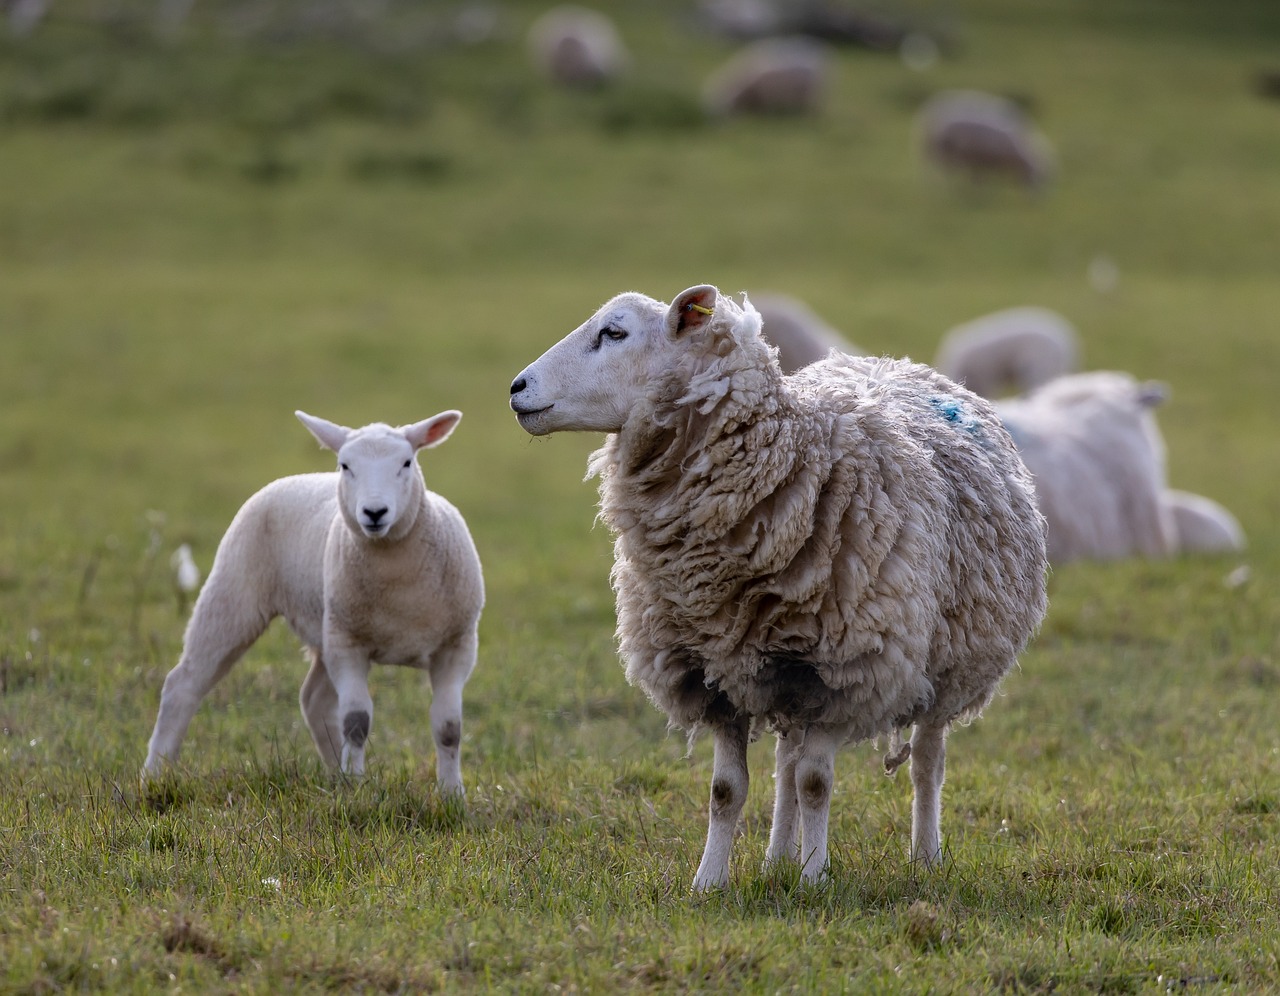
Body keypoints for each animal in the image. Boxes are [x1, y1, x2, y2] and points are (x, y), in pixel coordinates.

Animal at [143, 411, 484, 794]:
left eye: (406, 463)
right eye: (345, 465)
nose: (375, 512)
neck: (399, 584)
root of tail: (298, 478)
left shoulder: (456, 646)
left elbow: (449, 729)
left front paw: (452, 794)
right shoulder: (348, 644)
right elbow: (356, 722)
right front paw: (358, 788)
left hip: (321, 627)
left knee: (313, 699)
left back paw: (337, 773)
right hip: (234, 595)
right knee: (182, 686)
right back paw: (153, 774)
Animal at [509, 284, 1048, 889]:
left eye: (615, 332)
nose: (516, 389)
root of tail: (897, 363)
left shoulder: (848, 671)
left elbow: (817, 782)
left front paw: (815, 880)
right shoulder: (713, 671)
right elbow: (728, 790)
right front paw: (709, 881)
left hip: (947, 662)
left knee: (925, 762)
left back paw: (923, 855)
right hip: (784, 668)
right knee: (786, 762)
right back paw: (776, 858)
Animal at [917, 89, 1055, 190]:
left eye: (1047, 180)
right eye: (1039, 178)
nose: (1037, 202)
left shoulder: (982, 161)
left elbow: (981, 176)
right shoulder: (981, 158)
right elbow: (979, 177)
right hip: (939, 151)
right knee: (935, 171)